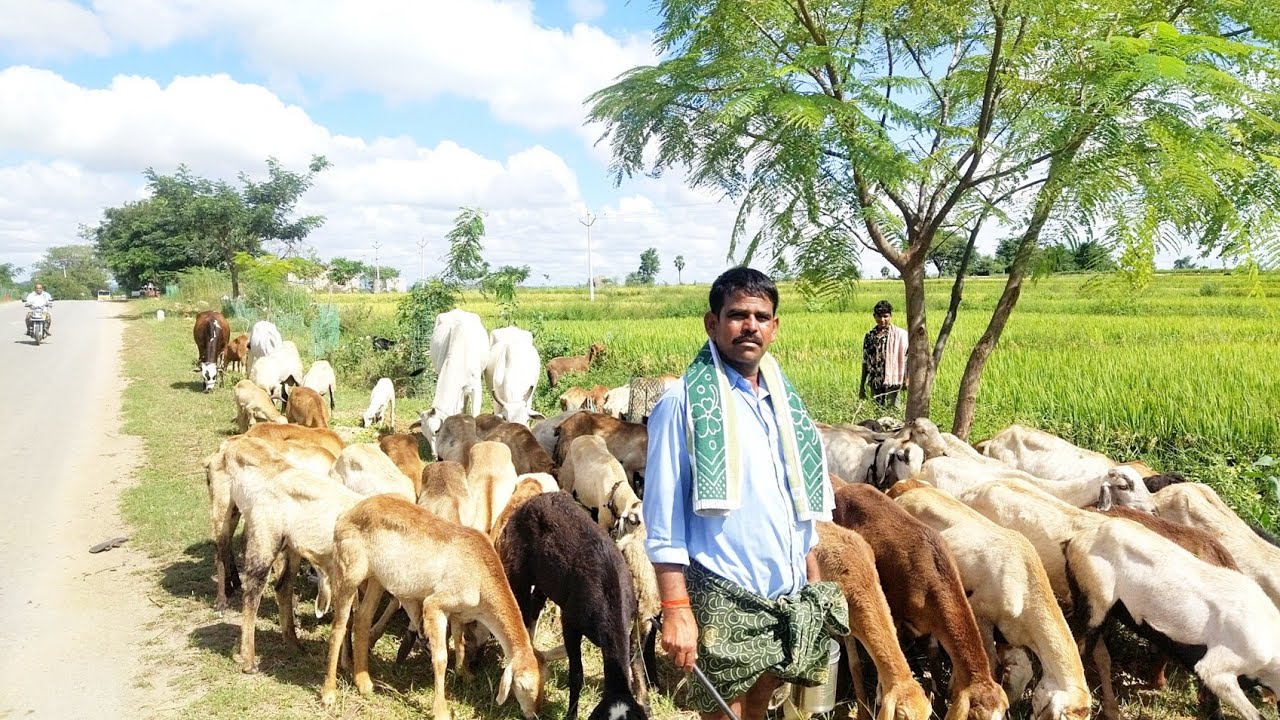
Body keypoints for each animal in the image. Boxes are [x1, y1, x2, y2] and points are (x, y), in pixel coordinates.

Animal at [320, 495, 547, 720]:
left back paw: (364, 682)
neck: (481, 576)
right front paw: (441, 710)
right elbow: (441, 658)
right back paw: (329, 693)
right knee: (338, 628)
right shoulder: (435, 606)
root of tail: (347, 513)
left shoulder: (458, 612)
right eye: (525, 686)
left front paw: (465, 674)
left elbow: (459, 642)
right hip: (349, 573)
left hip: (376, 579)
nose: (534, 714)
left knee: (362, 620)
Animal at [495, 491, 647, 720]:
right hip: (517, 567)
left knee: (536, 603)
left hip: (548, 578)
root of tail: (535, 499)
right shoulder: (570, 622)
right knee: (522, 605)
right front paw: (571, 714)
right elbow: (576, 674)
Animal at [832, 483, 1009, 720]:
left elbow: (934, 658)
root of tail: (845, 488)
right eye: (974, 717)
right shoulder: (896, 613)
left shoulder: (933, 627)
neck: (934, 579)